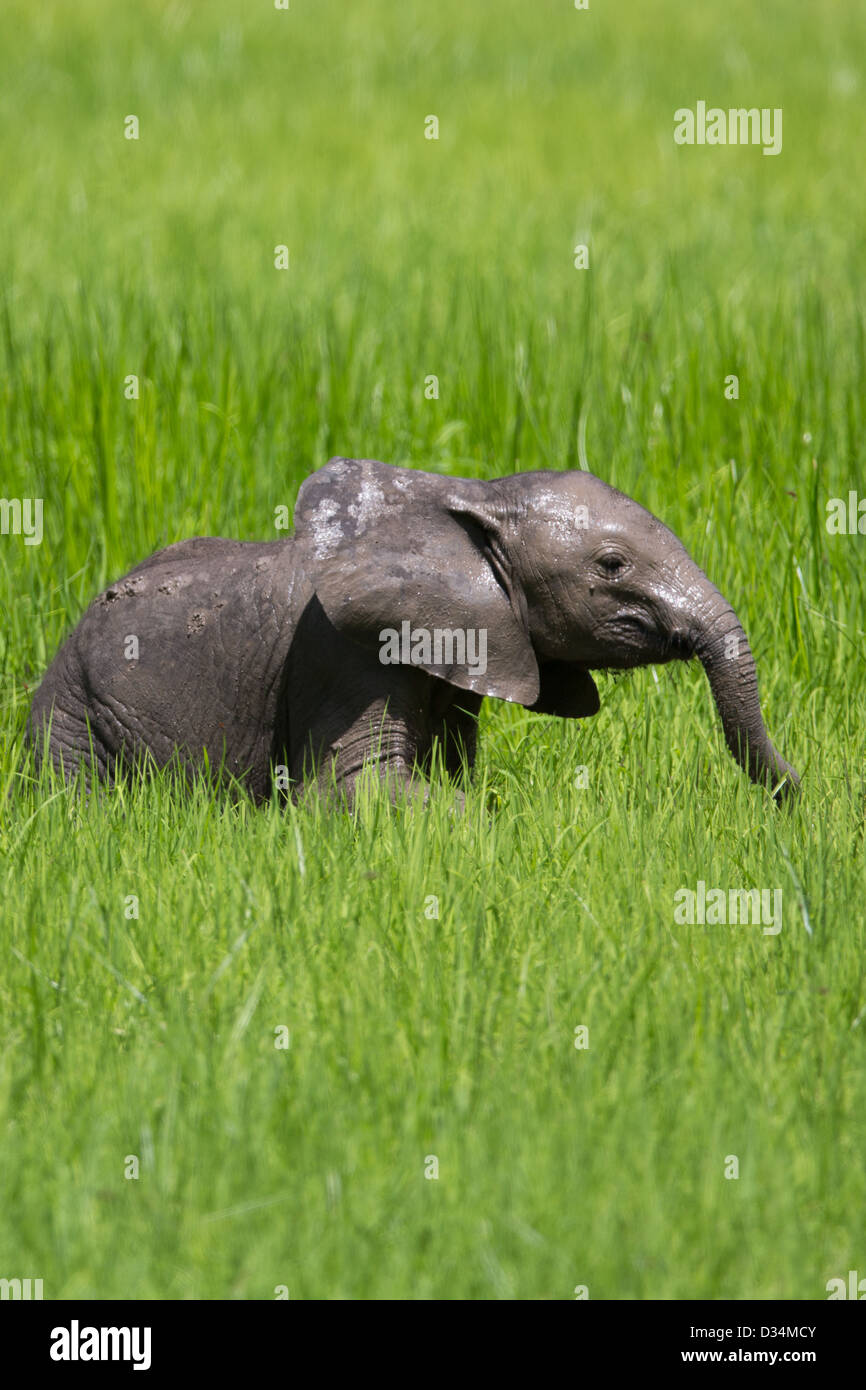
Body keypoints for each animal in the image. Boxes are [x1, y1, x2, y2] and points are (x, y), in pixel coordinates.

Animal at [28, 456, 799, 804]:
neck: (475, 498)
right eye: (611, 566)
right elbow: (358, 788)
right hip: (73, 715)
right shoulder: (347, 655)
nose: (798, 794)